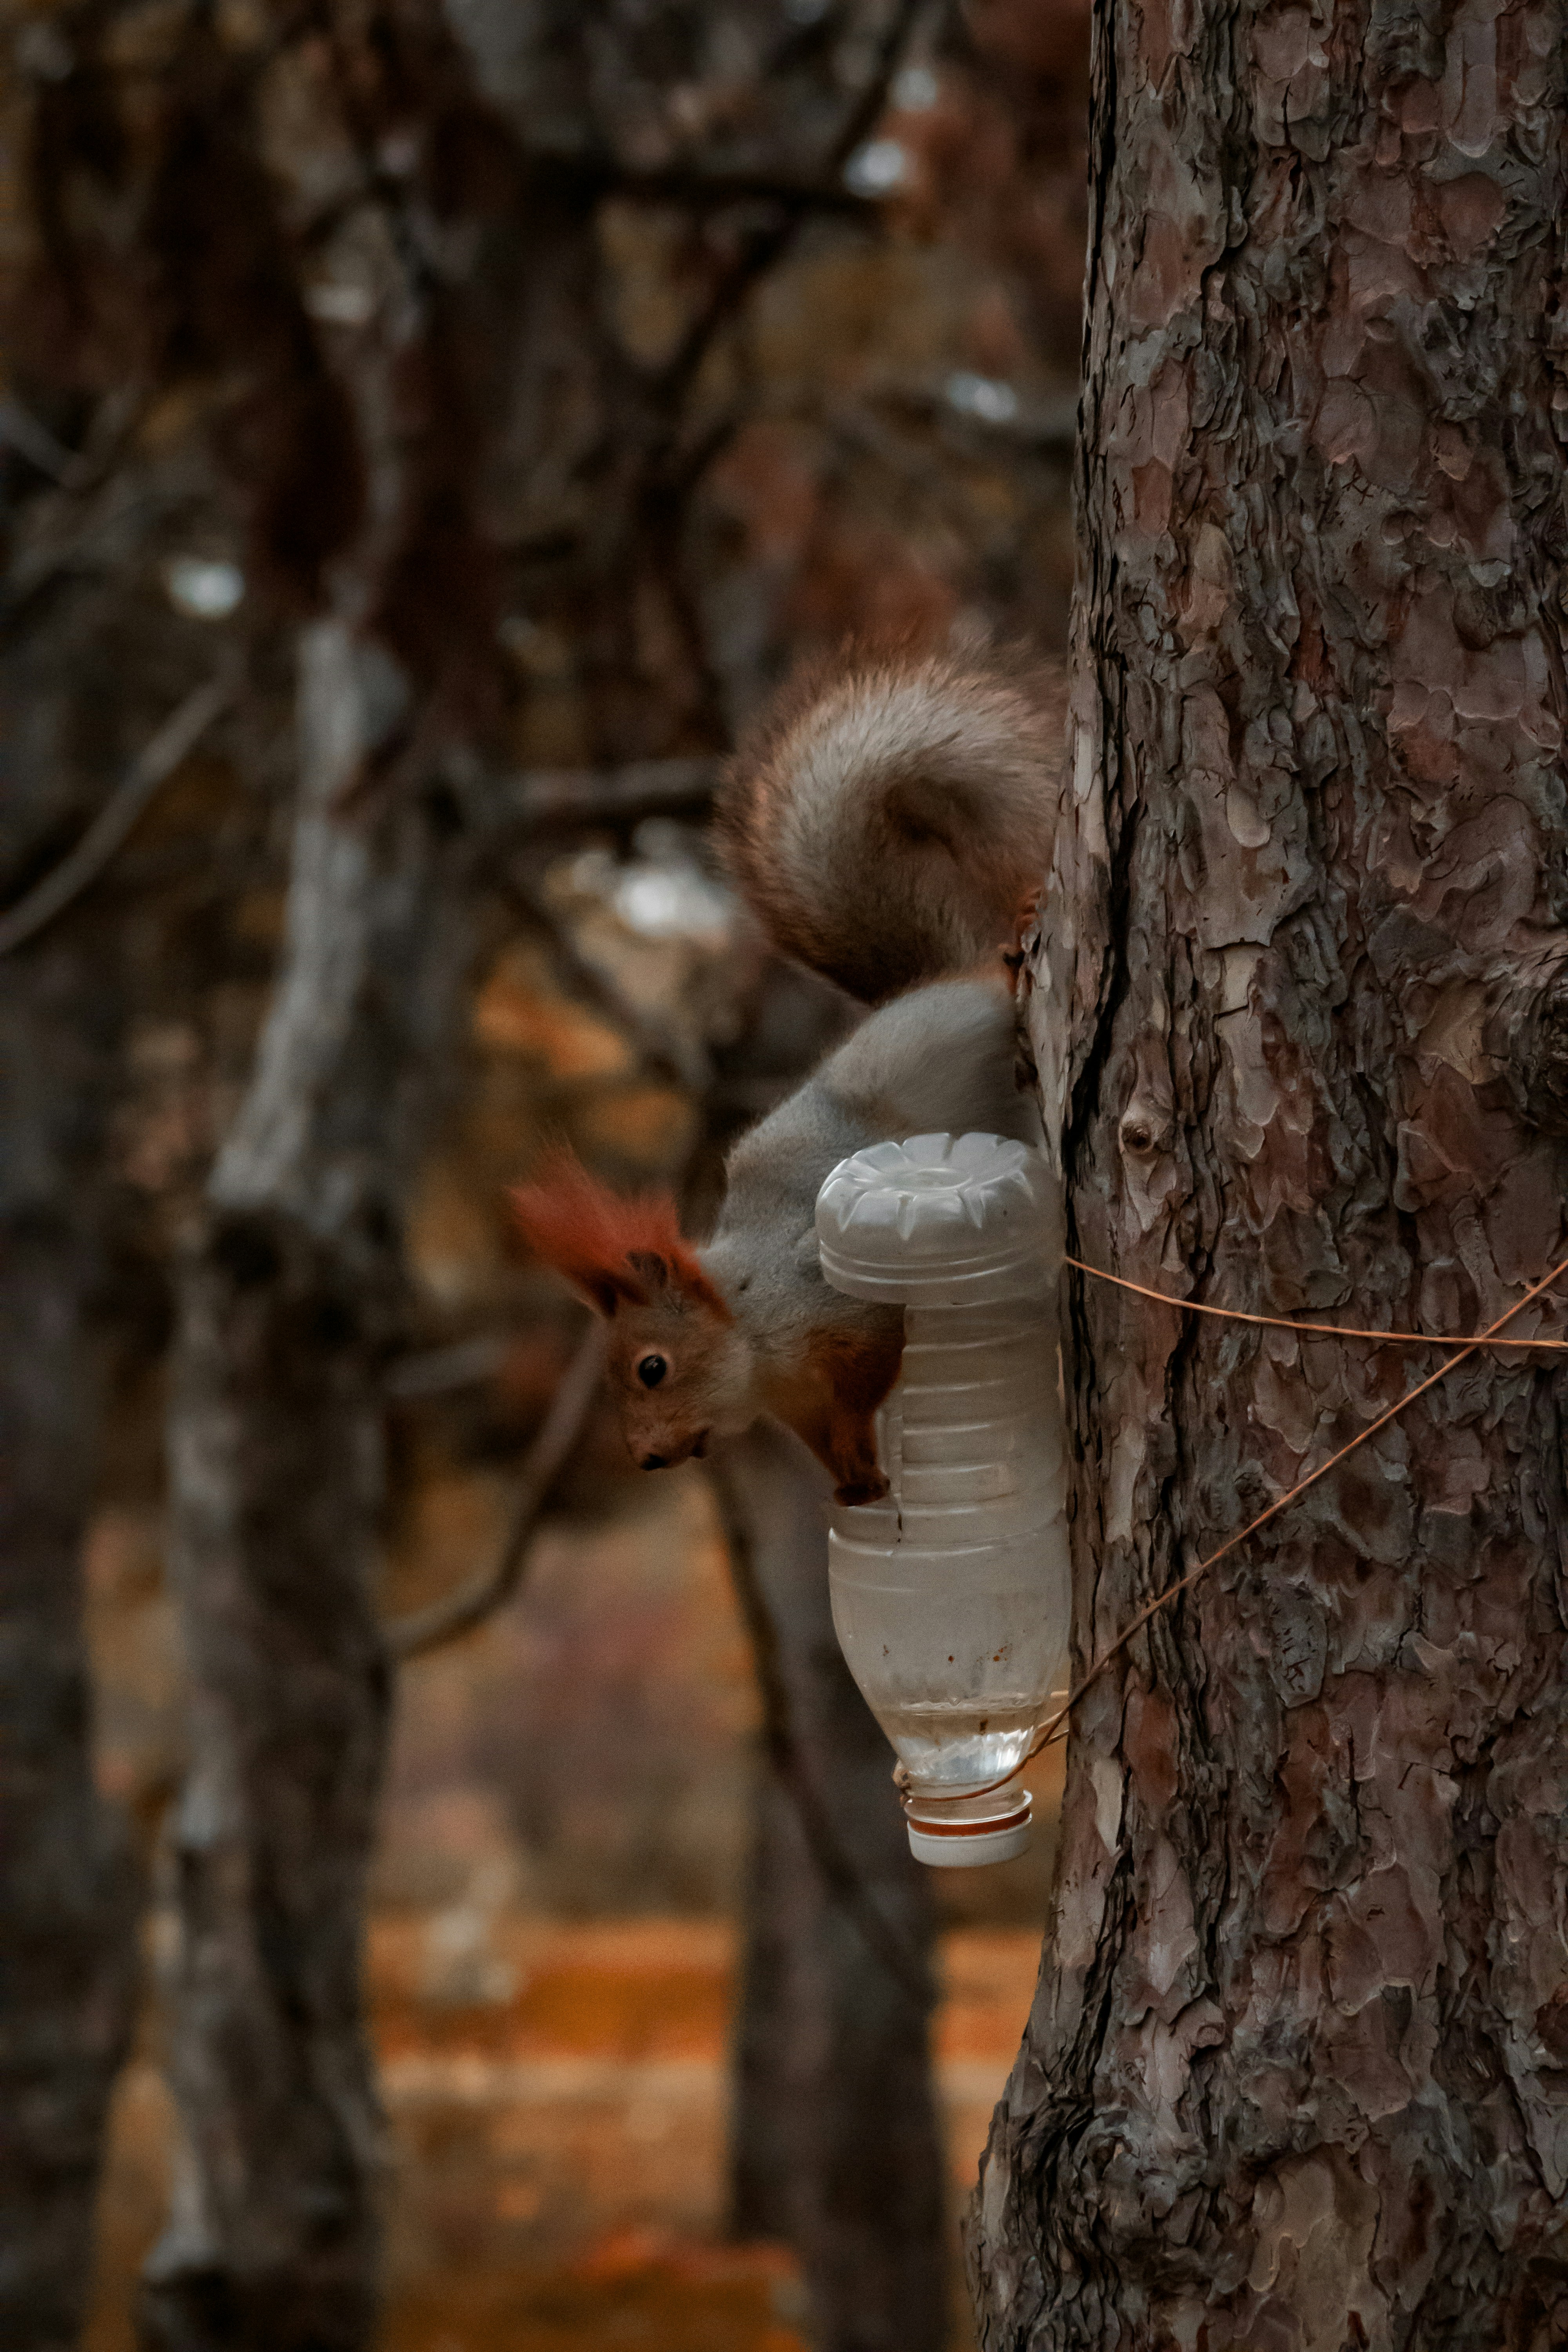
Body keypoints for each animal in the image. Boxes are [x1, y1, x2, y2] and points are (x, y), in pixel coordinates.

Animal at [511, 646, 1065, 1505]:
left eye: (651, 1368)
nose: (647, 1458)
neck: (755, 1341)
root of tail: (941, 975)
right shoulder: (793, 1406)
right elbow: (822, 1444)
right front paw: (851, 1487)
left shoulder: (845, 1311)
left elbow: (870, 1381)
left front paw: (865, 1458)